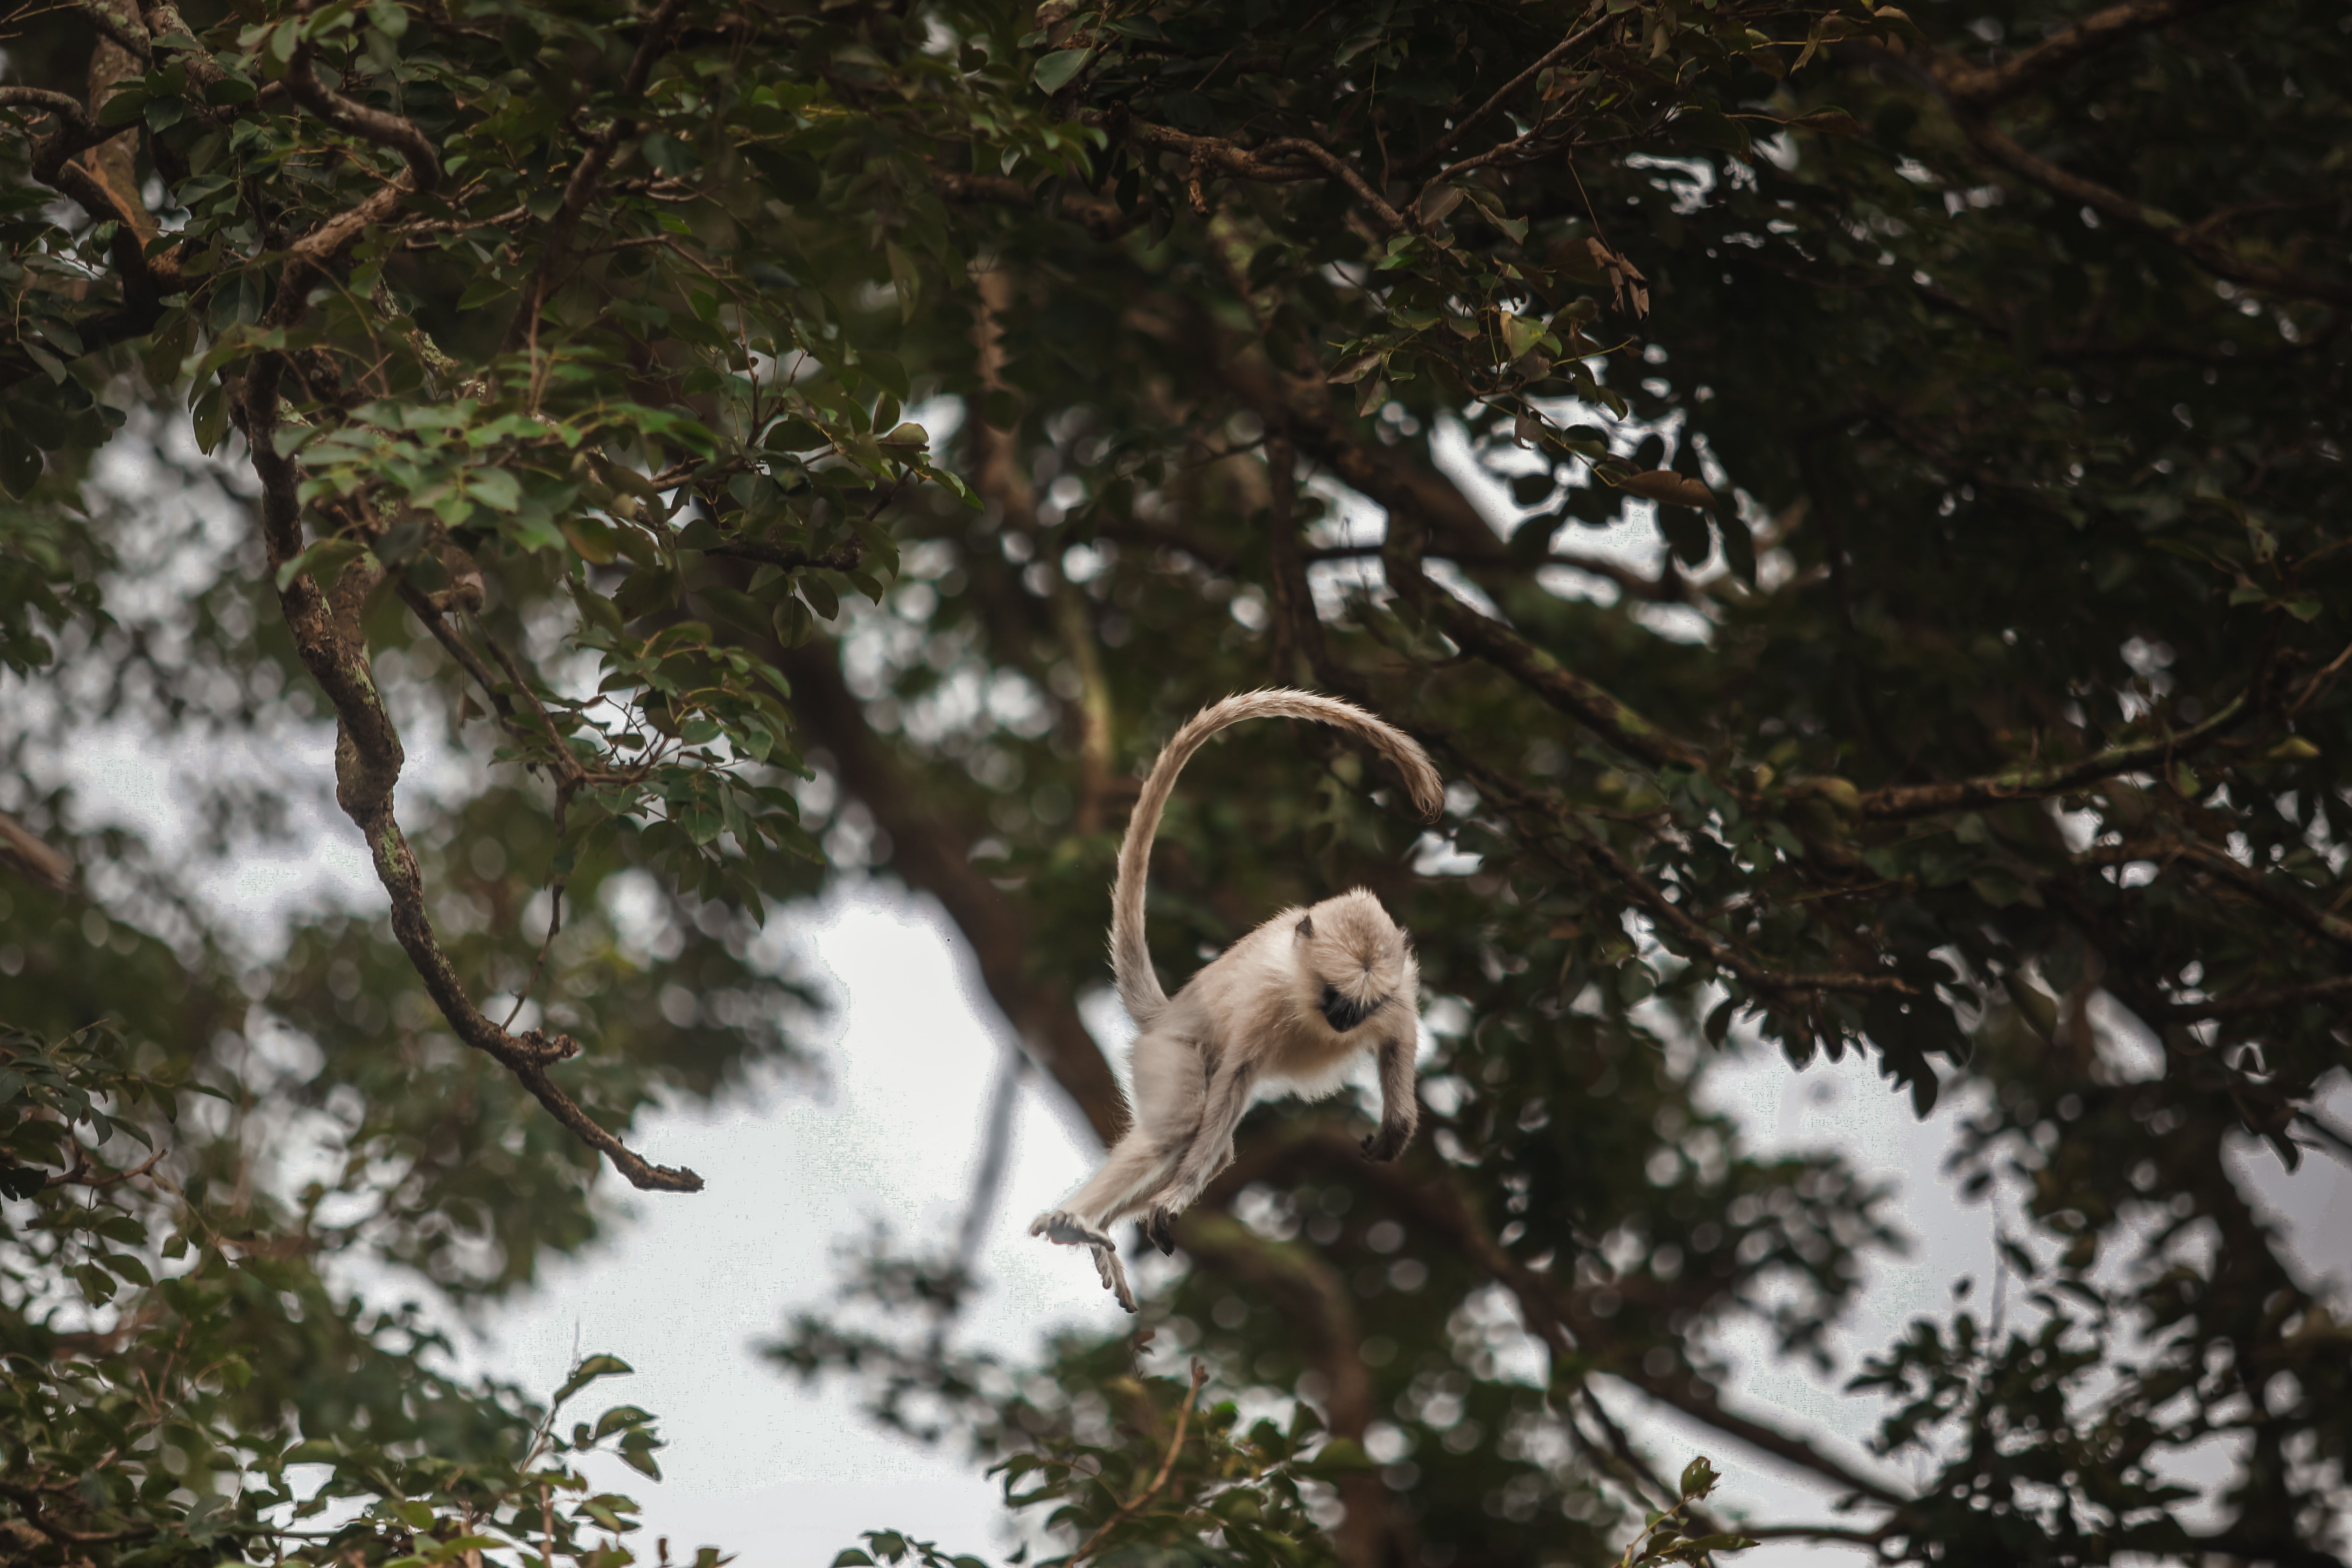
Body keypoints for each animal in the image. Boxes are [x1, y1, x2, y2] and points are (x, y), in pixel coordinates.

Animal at [1030, 689, 1445, 1312]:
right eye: (1334, 996)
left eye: (1360, 1006)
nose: (1345, 1020)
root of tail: (1169, 1010)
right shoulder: (1268, 1001)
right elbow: (1233, 1084)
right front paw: (1173, 1201)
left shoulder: (1395, 990)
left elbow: (1399, 1038)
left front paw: (1398, 1124)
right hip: (1169, 1049)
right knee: (1181, 1126)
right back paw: (1074, 1222)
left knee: (1206, 1144)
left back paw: (1089, 1230)